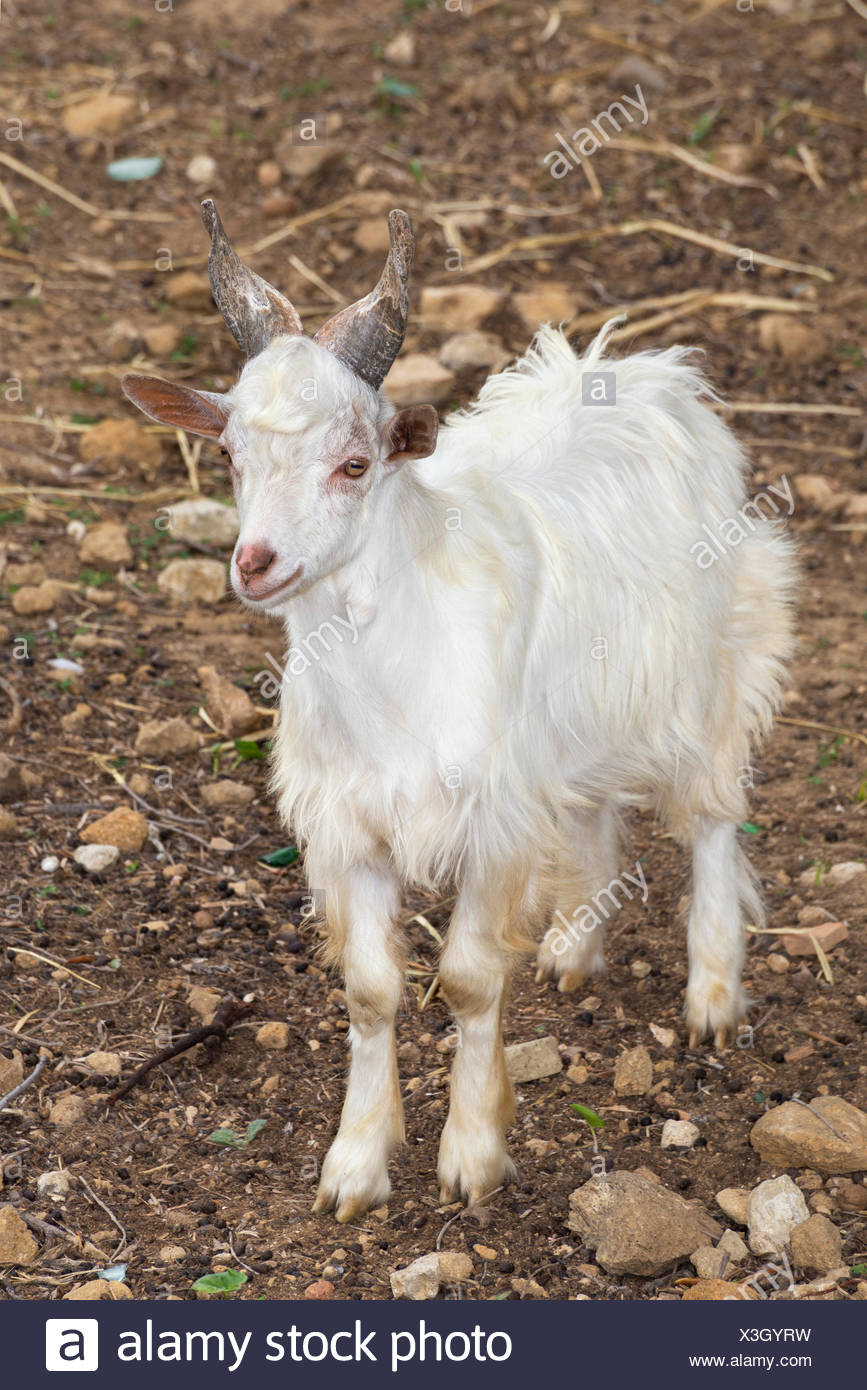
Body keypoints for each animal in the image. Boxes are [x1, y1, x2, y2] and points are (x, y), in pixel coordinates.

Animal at [123, 203, 796, 1222]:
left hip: (717, 657)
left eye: (355, 463)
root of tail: (632, 369)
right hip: (577, 722)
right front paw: (354, 1167)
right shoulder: (349, 826)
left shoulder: (493, 820)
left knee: (713, 814)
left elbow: (471, 983)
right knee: (593, 808)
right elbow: (370, 990)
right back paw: (574, 946)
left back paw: (713, 995)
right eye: (230, 453)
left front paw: (472, 1157)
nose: (256, 564)